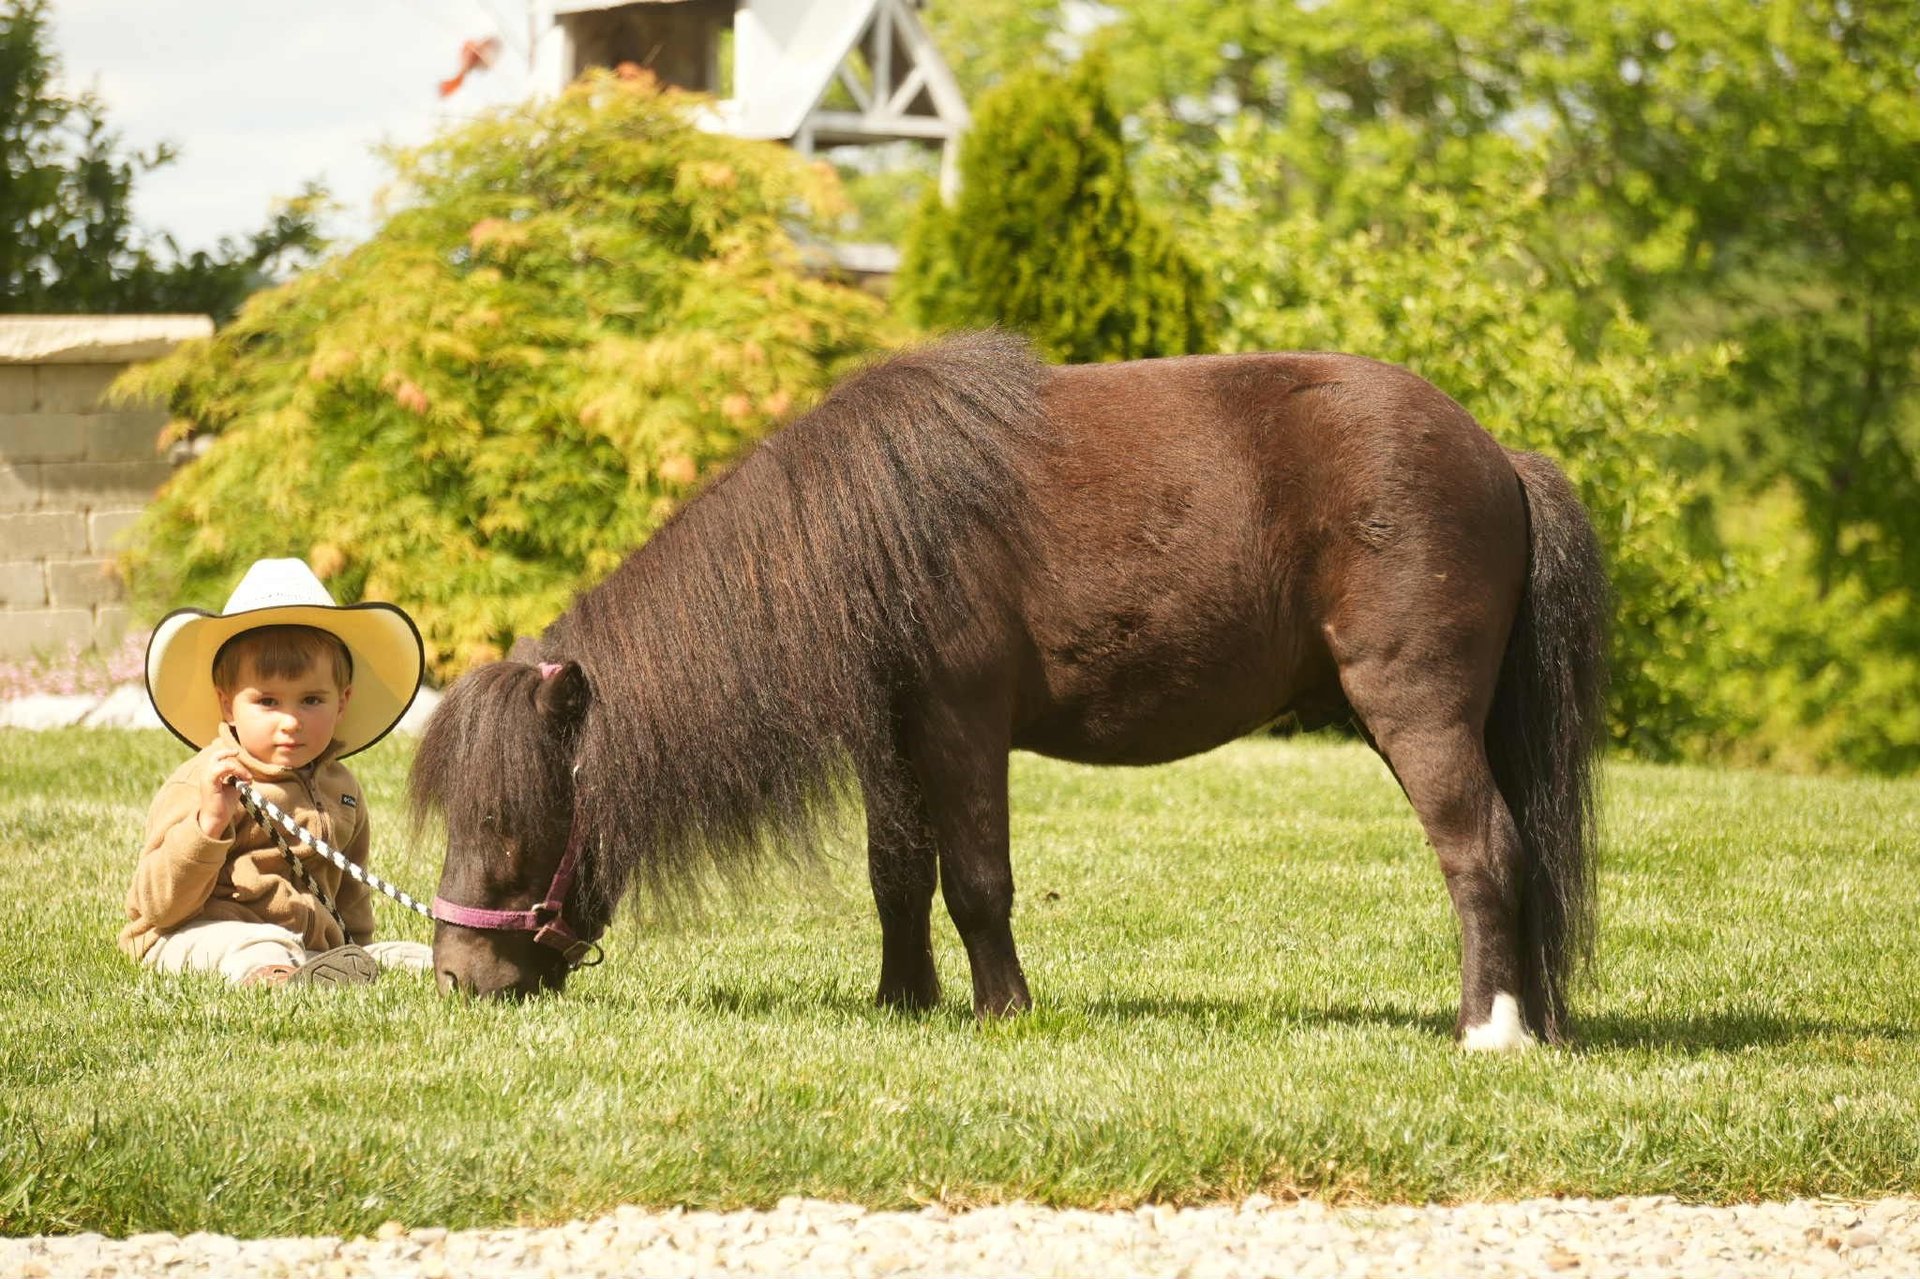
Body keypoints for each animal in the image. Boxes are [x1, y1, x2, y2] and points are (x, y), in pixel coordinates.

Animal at [410, 331, 1608, 1049]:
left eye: (515, 819)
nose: (455, 977)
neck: (867, 531)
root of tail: (1497, 455)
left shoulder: (961, 726)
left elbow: (978, 879)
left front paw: (1003, 1011)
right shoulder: (890, 737)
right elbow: (897, 874)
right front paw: (903, 1001)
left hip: (1414, 710)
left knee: (1484, 850)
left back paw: (1492, 1028)